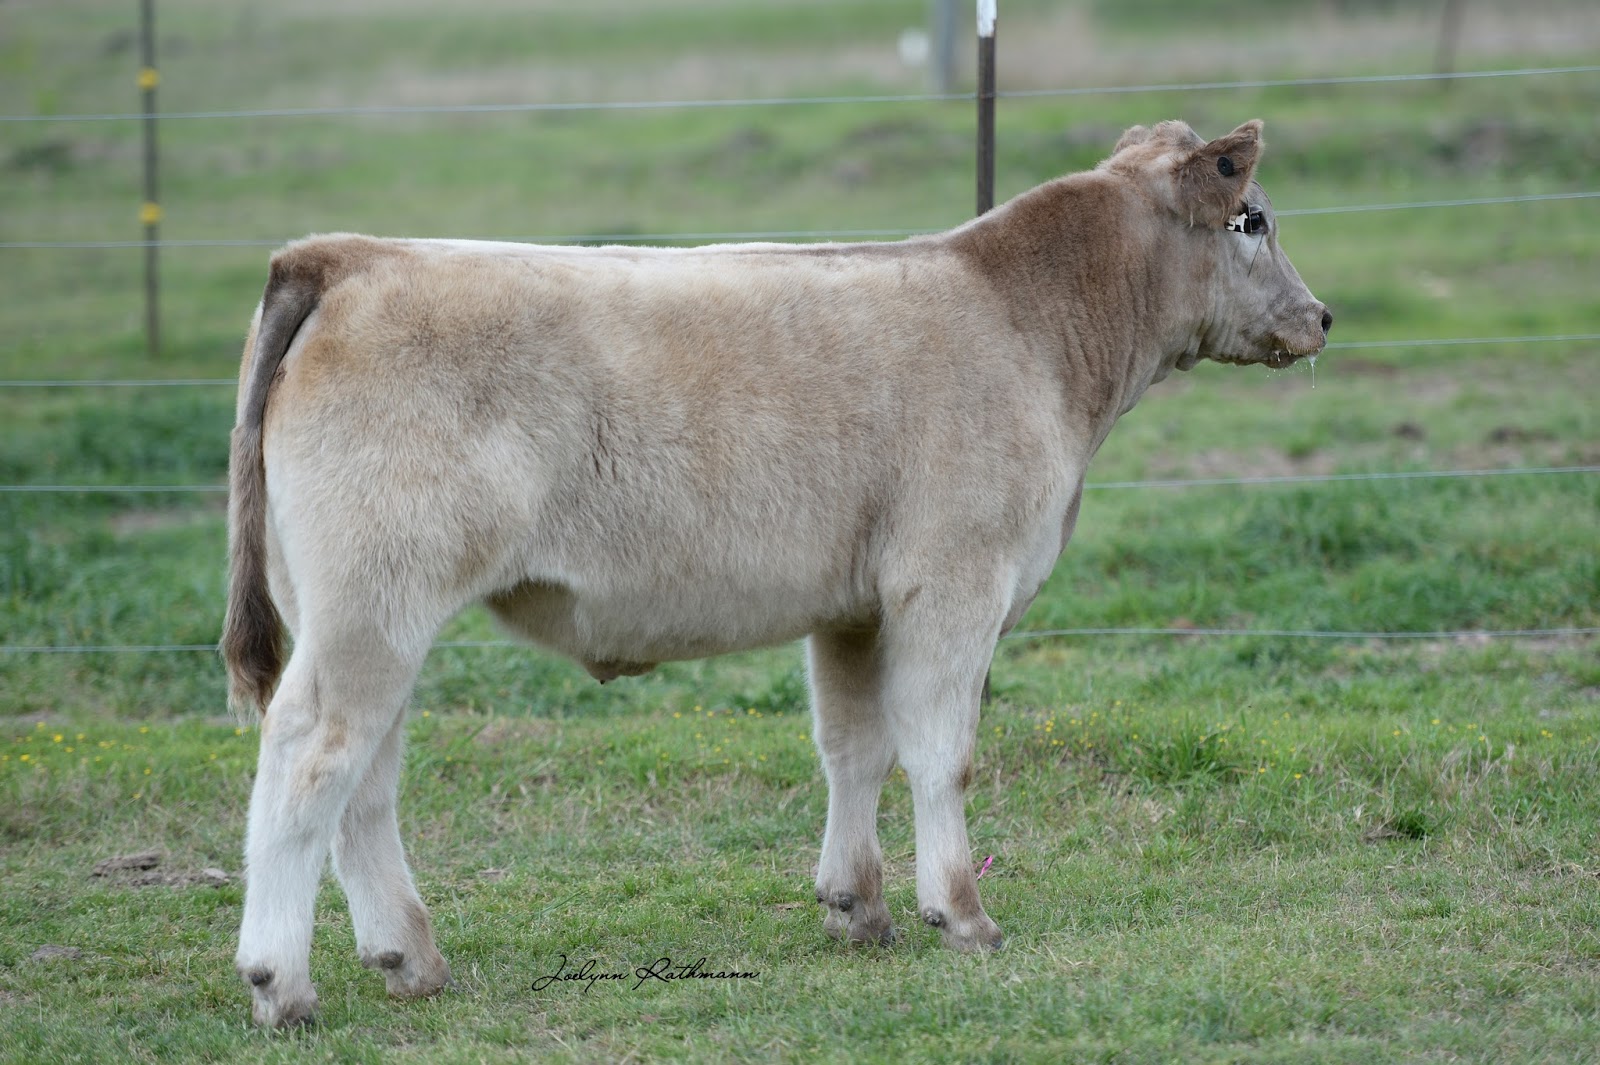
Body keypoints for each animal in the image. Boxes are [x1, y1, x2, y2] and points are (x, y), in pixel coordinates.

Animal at [222, 119, 1329, 1026]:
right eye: (1252, 218)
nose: (1321, 316)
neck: (1032, 326)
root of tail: (352, 255)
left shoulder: (854, 605)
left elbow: (854, 746)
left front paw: (857, 904)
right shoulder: (956, 579)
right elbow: (942, 752)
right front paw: (961, 914)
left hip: (362, 610)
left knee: (366, 776)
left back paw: (408, 958)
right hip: (374, 603)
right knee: (312, 754)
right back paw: (283, 982)